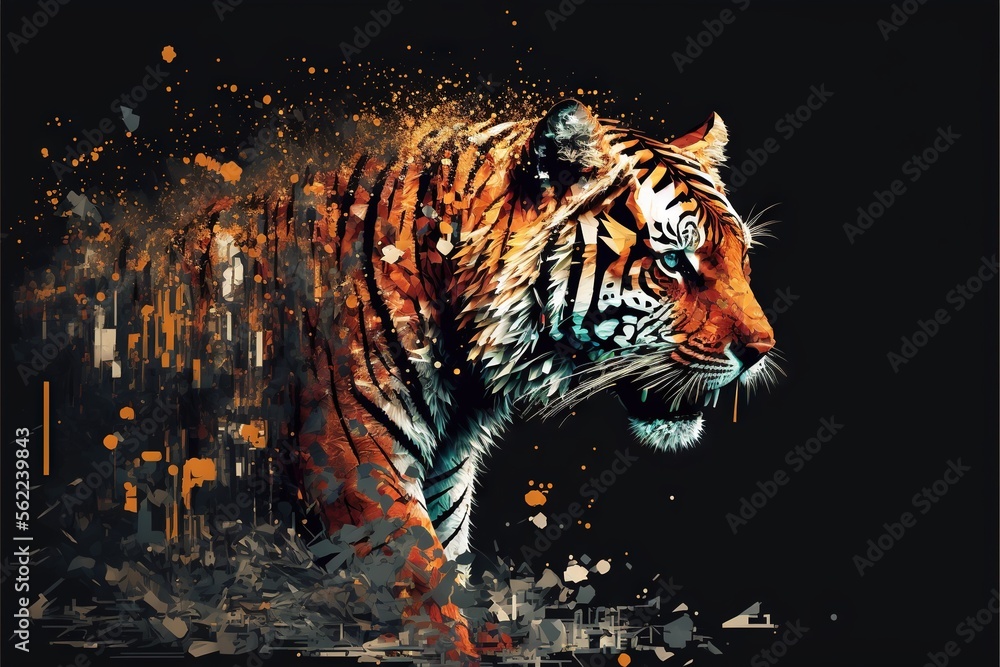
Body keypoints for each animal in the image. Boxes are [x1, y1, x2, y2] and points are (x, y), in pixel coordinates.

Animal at [22, 98, 777, 660]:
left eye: (741, 257)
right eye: (673, 262)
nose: (763, 348)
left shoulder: (441, 484)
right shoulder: (358, 481)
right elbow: (429, 602)